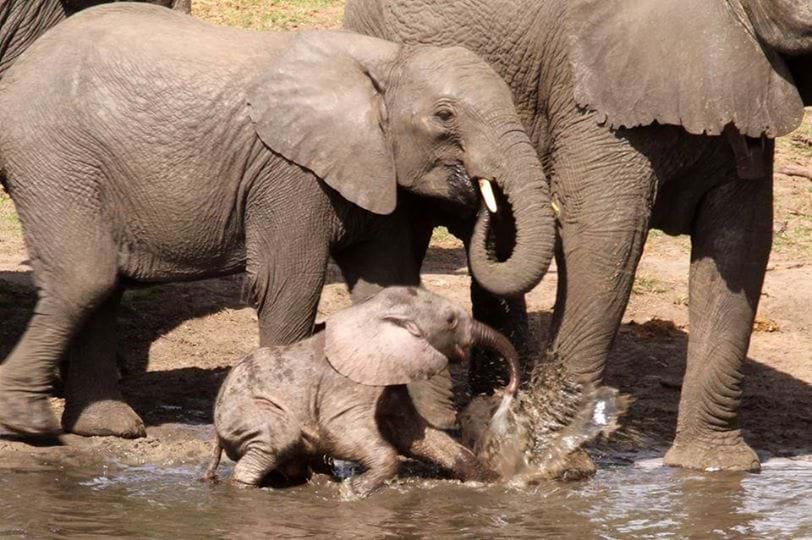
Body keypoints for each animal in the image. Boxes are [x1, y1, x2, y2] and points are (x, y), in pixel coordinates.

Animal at [0, 4, 554, 439]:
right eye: (445, 116)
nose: (478, 194)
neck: (387, 59)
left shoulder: (371, 165)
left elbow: (386, 287)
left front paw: (426, 428)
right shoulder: (287, 173)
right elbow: (288, 287)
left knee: (102, 284)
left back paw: (106, 428)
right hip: (54, 155)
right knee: (84, 277)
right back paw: (25, 420)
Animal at [204, 286, 520, 496]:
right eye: (451, 321)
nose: (507, 388)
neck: (373, 312)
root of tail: (217, 432)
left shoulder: (390, 378)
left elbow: (415, 435)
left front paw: (496, 480)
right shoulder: (349, 383)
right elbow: (340, 430)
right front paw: (353, 491)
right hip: (249, 413)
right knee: (278, 439)